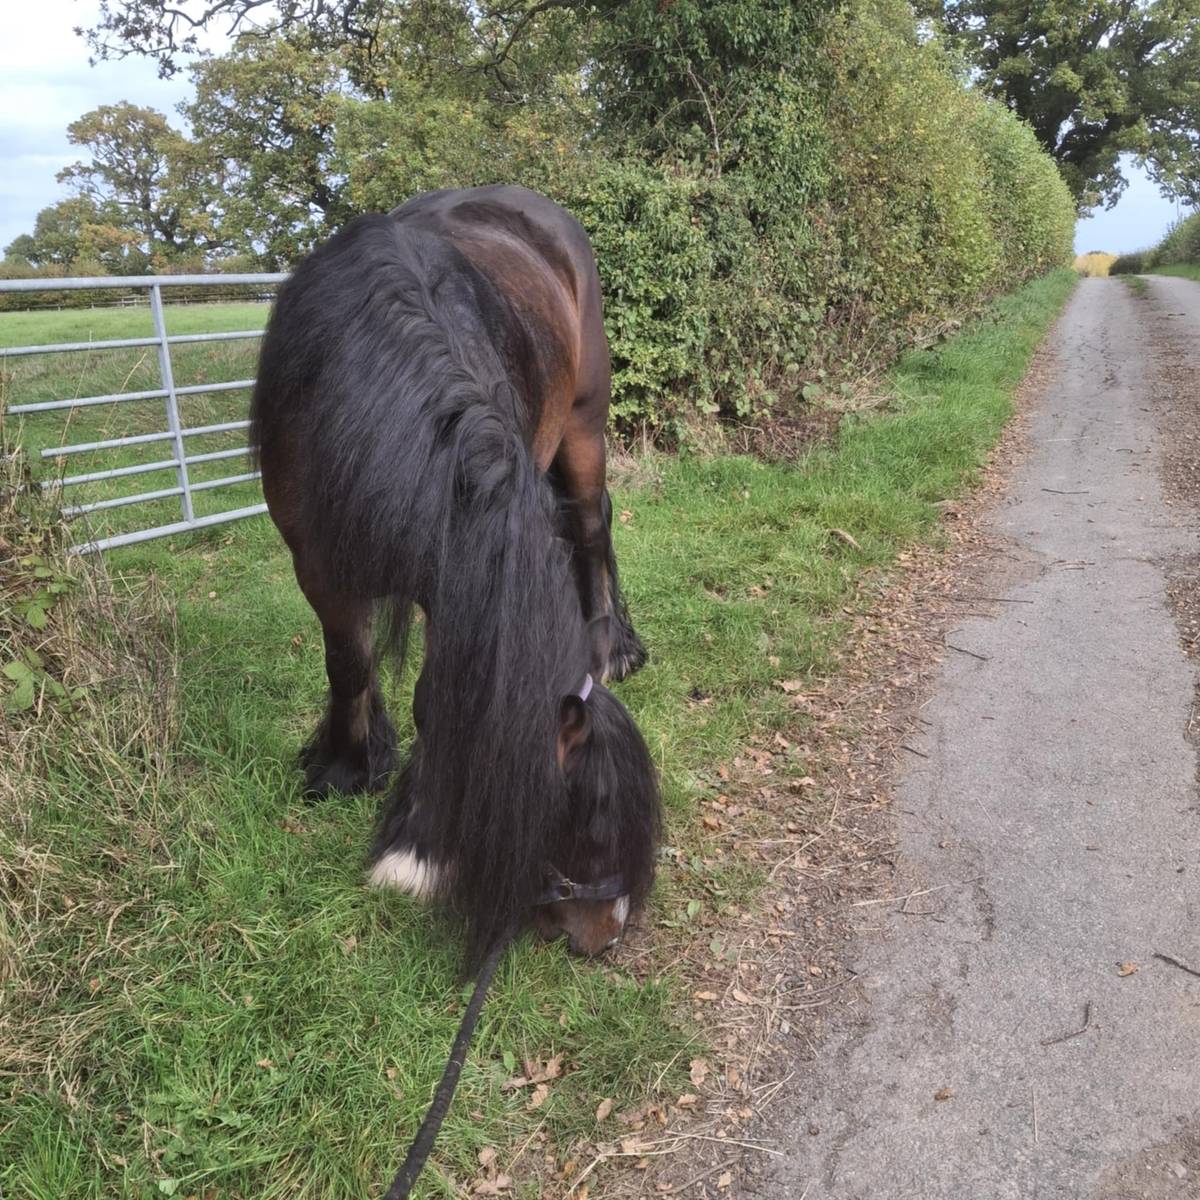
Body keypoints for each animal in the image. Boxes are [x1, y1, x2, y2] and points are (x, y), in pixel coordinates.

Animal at [250, 185, 660, 960]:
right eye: (588, 820)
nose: (609, 931)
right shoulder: (318, 562)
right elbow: (348, 664)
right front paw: (348, 766)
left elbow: (439, 694)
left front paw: (415, 844)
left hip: (583, 424)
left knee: (590, 530)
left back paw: (611, 648)